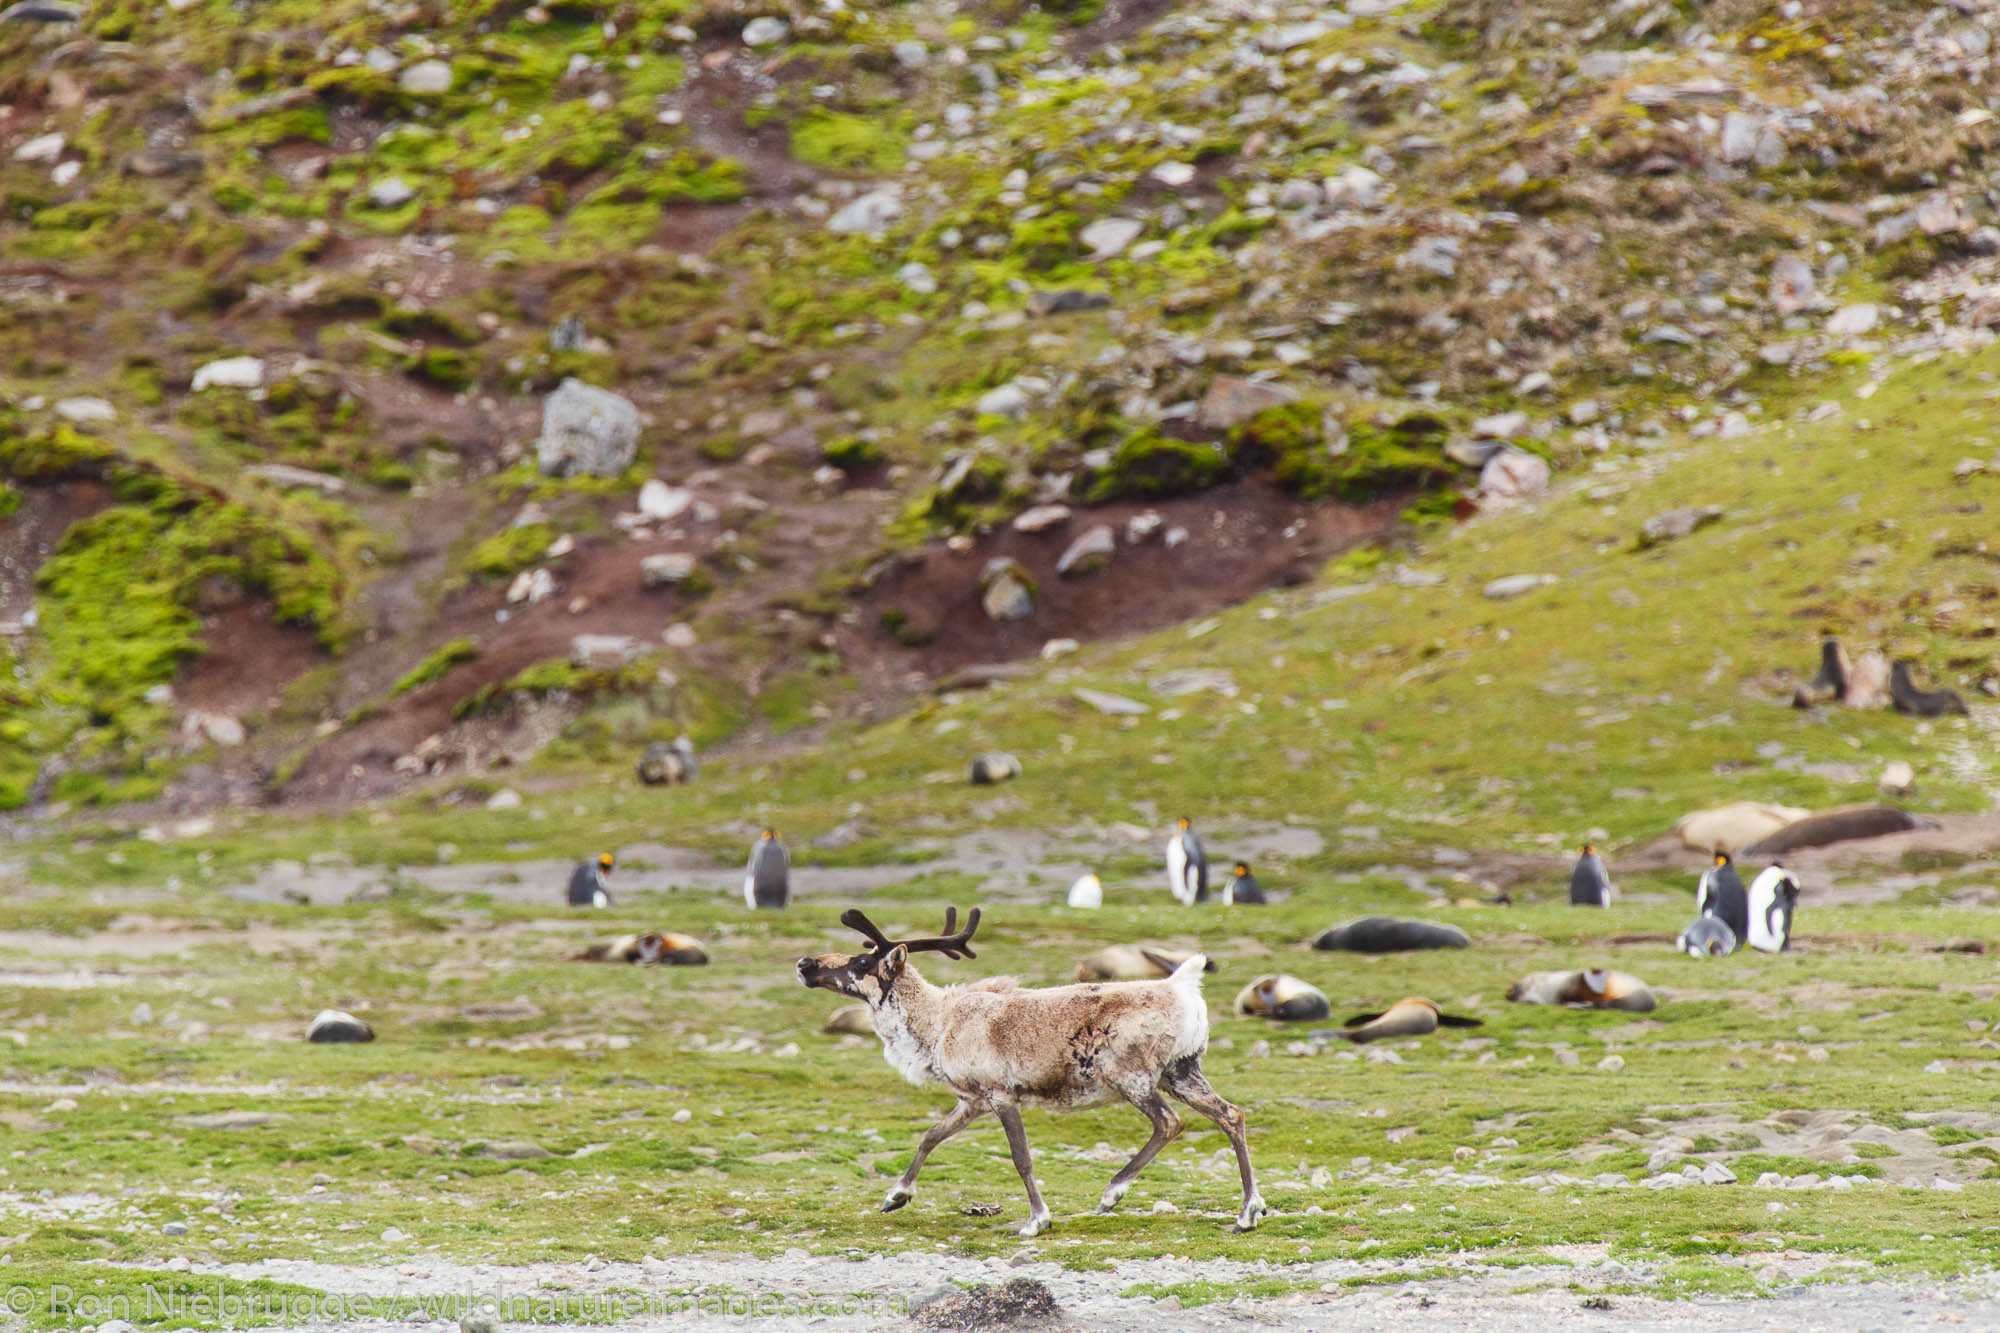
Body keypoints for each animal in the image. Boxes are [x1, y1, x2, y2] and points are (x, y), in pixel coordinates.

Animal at [795, 906, 1264, 1237]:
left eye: (860, 964)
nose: (805, 963)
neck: (937, 1024)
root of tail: (1183, 988)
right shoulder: (972, 1100)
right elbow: (930, 1136)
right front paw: (896, 1195)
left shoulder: (1000, 1093)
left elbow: (1021, 1158)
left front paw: (1037, 1219)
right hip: (1183, 1071)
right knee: (1231, 1114)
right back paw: (1248, 1211)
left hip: (1131, 1076)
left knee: (1170, 1122)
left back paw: (1112, 1193)